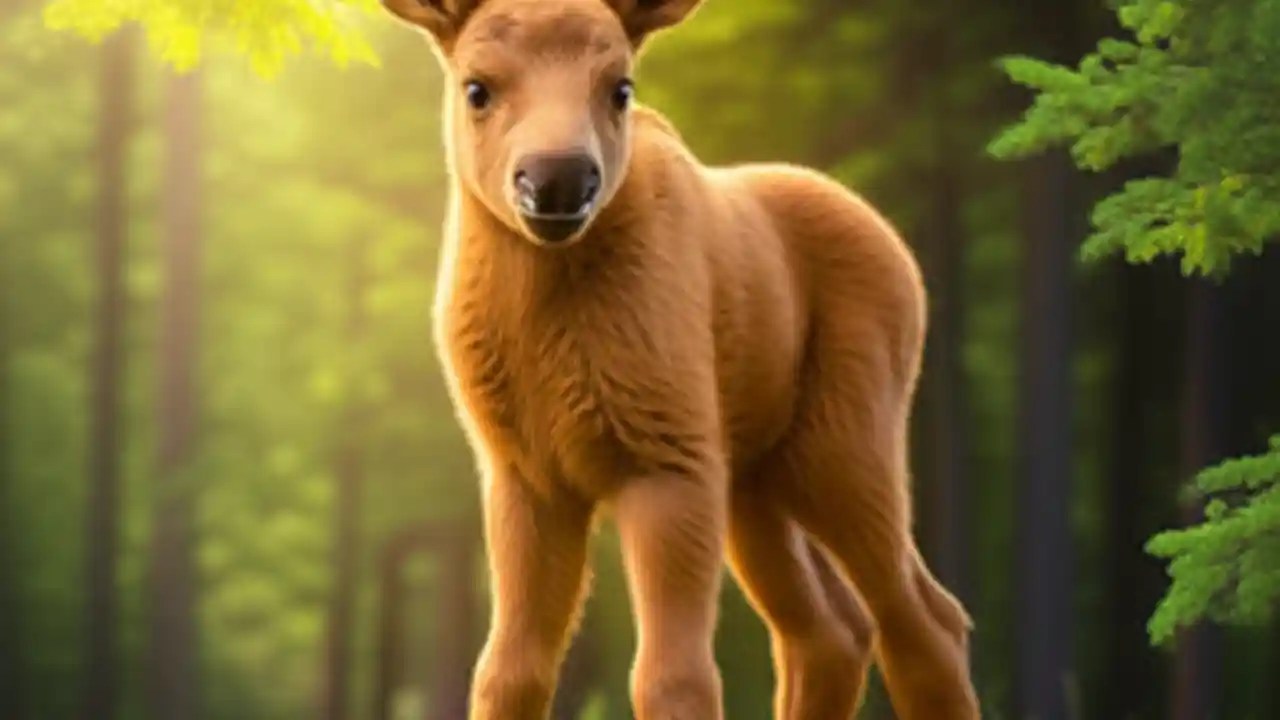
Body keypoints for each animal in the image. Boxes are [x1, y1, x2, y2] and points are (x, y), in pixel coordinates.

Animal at [380, 0, 982, 718]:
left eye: (621, 87)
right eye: (476, 88)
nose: (559, 179)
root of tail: (900, 255)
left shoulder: (669, 458)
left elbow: (673, 676)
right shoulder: (522, 473)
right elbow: (510, 668)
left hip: (847, 436)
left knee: (923, 616)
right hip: (757, 478)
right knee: (830, 628)